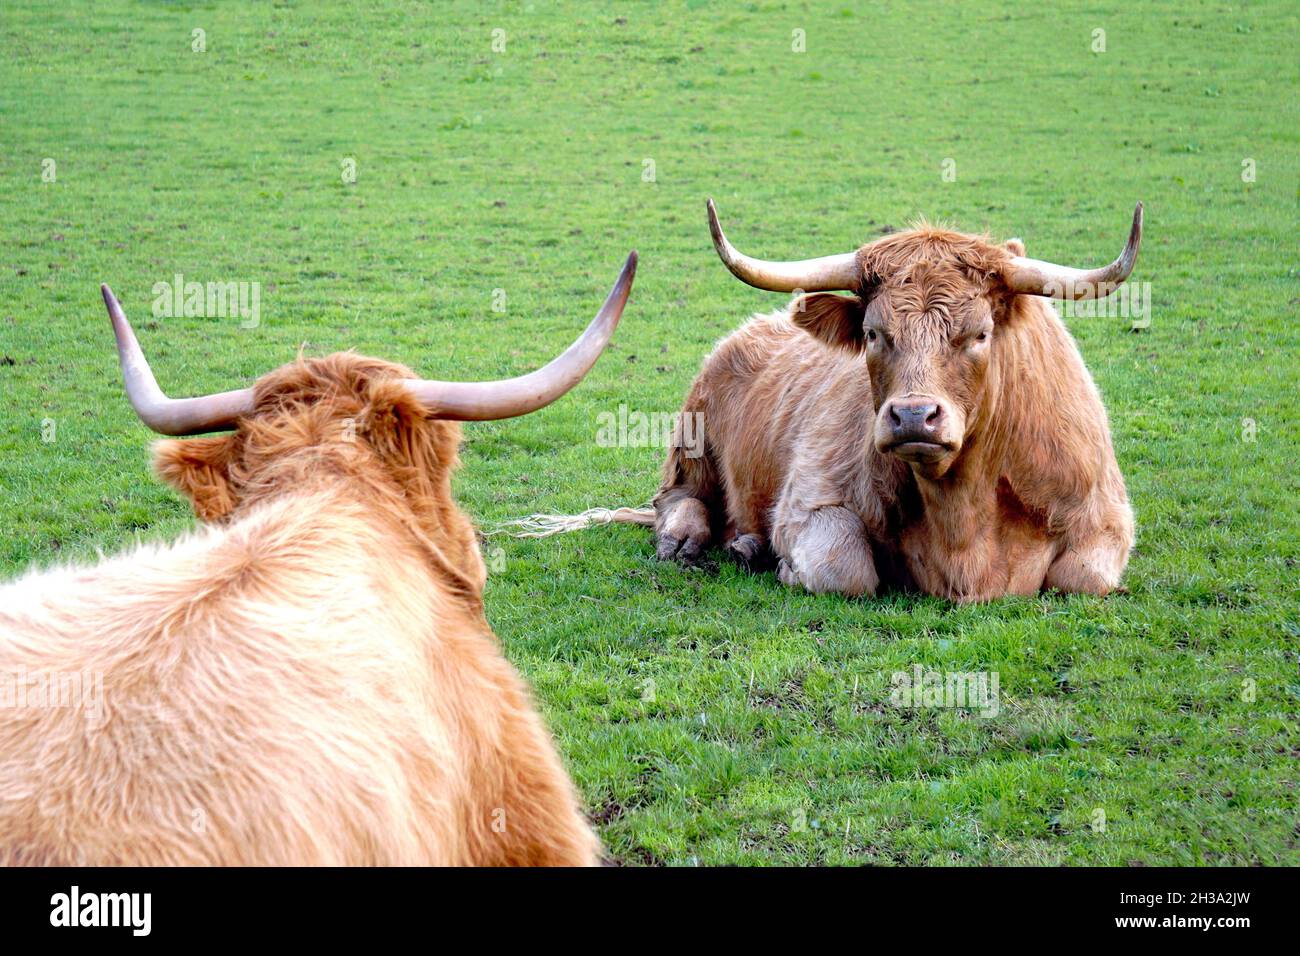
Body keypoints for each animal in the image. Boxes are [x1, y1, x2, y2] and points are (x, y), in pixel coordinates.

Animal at [644, 201, 1141, 602]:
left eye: (980, 334)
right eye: (872, 333)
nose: (914, 417)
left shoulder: (1105, 512)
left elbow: (1083, 576)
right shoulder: (806, 501)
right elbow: (845, 567)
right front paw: (784, 565)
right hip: (691, 445)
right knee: (678, 497)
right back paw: (696, 540)